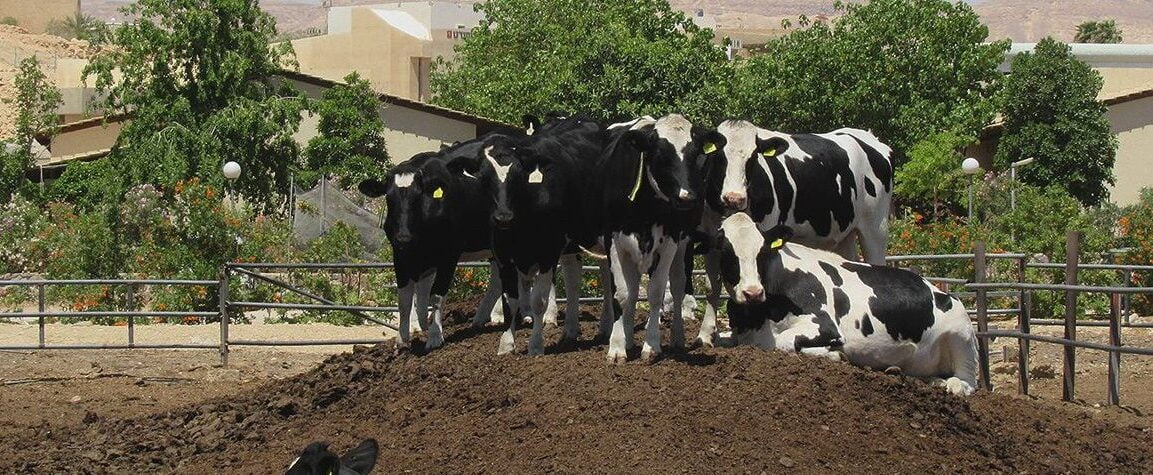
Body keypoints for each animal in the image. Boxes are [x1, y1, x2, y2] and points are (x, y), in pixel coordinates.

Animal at [358, 139, 507, 351]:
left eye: (418, 196)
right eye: (389, 197)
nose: (403, 236)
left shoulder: (449, 254)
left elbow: (435, 295)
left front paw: (435, 336)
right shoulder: (401, 255)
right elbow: (406, 298)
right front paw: (405, 338)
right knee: (497, 278)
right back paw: (482, 318)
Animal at [451, 116, 606, 355]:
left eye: (518, 176)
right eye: (484, 179)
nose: (503, 217)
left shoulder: (547, 253)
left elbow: (538, 301)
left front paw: (535, 346)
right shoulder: (504, 255)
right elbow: (510, 301)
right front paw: (506, 345)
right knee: (573, 281)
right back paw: (570, 333)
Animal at [587, 114, 709, 363]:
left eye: (695, 155)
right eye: (661, 154)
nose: (687, 197)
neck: (645, 208)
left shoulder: (670, 242)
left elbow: (655, 293)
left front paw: (651, 346)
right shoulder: (614, 242)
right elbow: (623, 294)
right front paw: (617, 347)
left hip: (684, 246)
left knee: (679, 288)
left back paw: (677, 338)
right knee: (632, 291)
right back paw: (627, 338)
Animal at [692, 121, 896, 347]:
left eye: (753, 157)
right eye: (719, 155)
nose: (734, 198)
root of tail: (867, 136)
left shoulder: (767, 230)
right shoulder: (711, 237)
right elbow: (712, 287)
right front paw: (706, 335)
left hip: (876, 226)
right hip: (846, 235)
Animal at [715, 212, 978, 396]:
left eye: (762, 252)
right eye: (725, 252)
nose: (752, 292)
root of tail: (939, 289)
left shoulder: (824, 325)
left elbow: (780, 343)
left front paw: (833, 355)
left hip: (960, 332)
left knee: (968, 381)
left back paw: (953, 385)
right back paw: (919, 376)